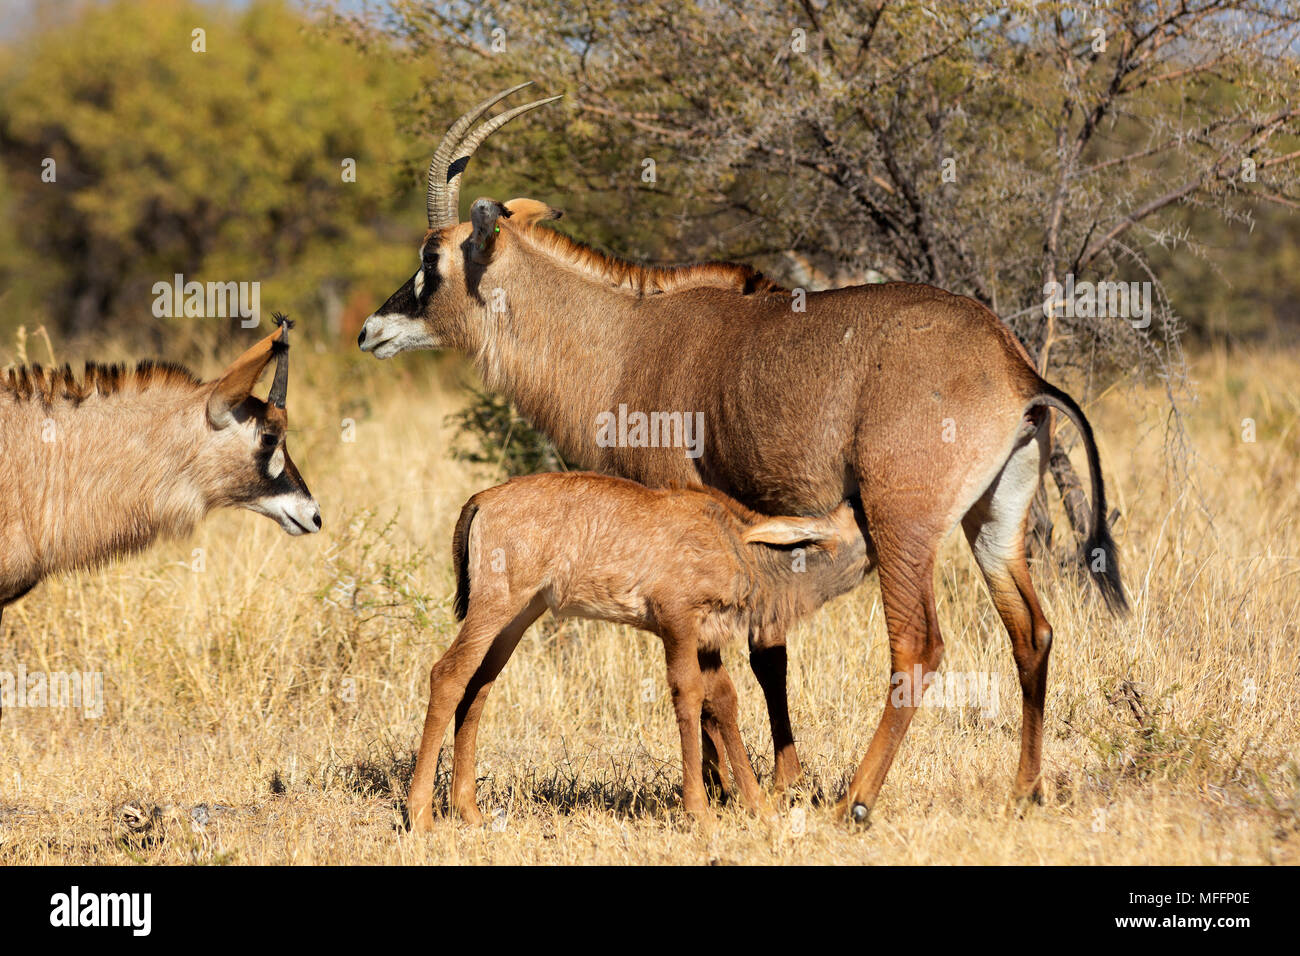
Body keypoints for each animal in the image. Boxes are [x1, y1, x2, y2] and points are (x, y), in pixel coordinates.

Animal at [407, 471, 867, 830]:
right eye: (860, 519)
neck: (736, 544)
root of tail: (482, 500)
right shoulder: (676, 622)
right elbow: (688, 695)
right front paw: (700, 811)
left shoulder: (704, 638)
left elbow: (723, 700)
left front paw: (757, 805)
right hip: (495, 605)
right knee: (448, 674)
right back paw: (421, 815)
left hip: (519, 615)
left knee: (479, 685)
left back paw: (469, 811)